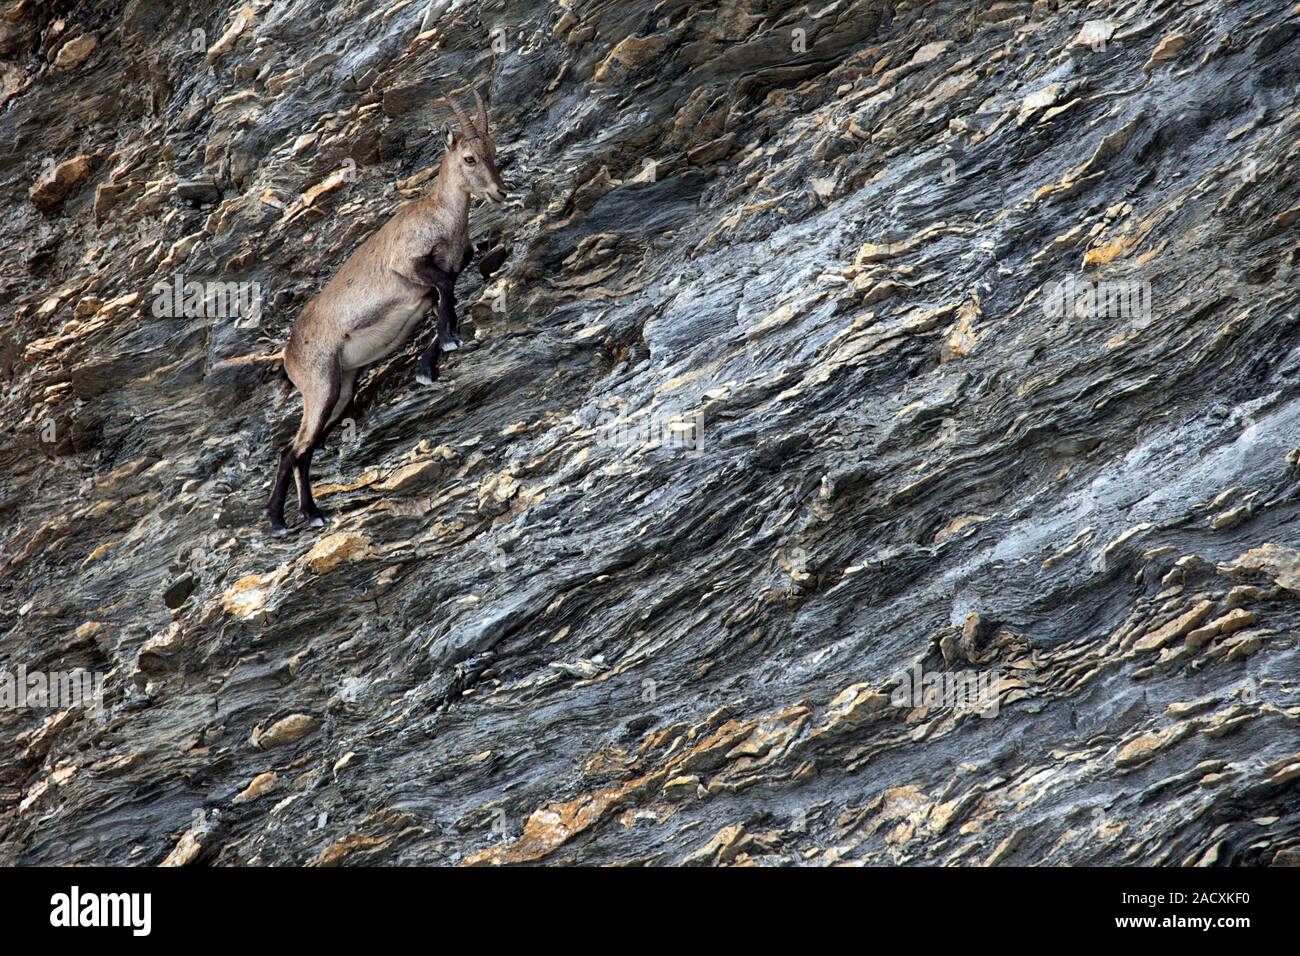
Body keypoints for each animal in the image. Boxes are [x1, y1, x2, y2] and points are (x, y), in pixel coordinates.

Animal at [266, 91, 505, 535]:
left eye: (493, 152)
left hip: (342, 387)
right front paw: (449, 342)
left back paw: (294, 516)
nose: (500, 191)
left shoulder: (430, 289)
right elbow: (447, 291)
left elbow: (446, 301)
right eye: (469, 158)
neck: (444, 219)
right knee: (296, 449)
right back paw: (296, 516)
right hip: (319, 384)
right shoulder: (408, 266)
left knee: (301, 449)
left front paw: (430, 364)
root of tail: (288, 356)